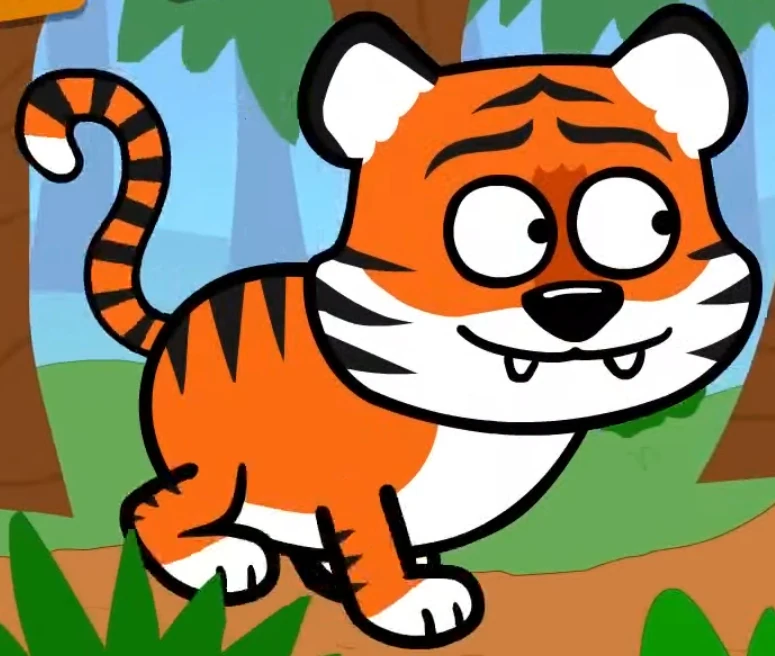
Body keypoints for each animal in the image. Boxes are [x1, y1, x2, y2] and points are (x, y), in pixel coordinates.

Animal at [15, 3, 761, 649]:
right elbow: (374, 542)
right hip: (221, 468)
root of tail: (180, 317)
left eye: (649, 223)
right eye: (488, 232)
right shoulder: (353, 485)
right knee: (152, 509)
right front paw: (412, 602)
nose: (574, 304)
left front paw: (409, 572)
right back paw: (219, 560)